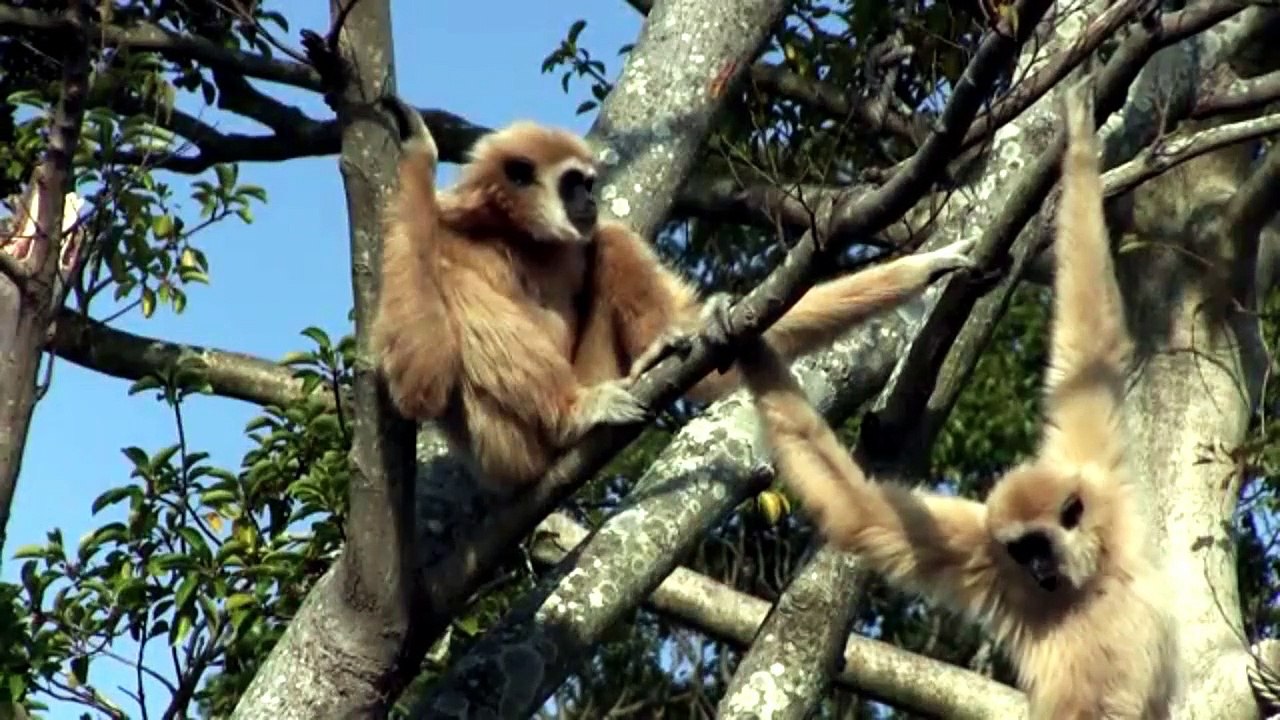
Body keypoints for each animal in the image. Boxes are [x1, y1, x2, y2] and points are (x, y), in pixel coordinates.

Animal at [370, 95, 979, 492]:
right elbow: (421, 384)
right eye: (572, 183)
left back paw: (664, 348)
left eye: (587, 183)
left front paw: (925, 268)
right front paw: (418, 153)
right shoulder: (447, 231)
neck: (514, 236)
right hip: (509, 451)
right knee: (460, 294)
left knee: (614, 242)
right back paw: (574, 413)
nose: (590, 200)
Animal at [734, 79, 1179, 719]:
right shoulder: (988, 549)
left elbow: (1088, 341)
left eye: (1037, 545)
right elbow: (861, 513)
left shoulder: (1097, 477)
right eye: (1020, 552)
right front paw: (751, 347)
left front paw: (1077, 135)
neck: (1087, 579)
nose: (1036, 569)